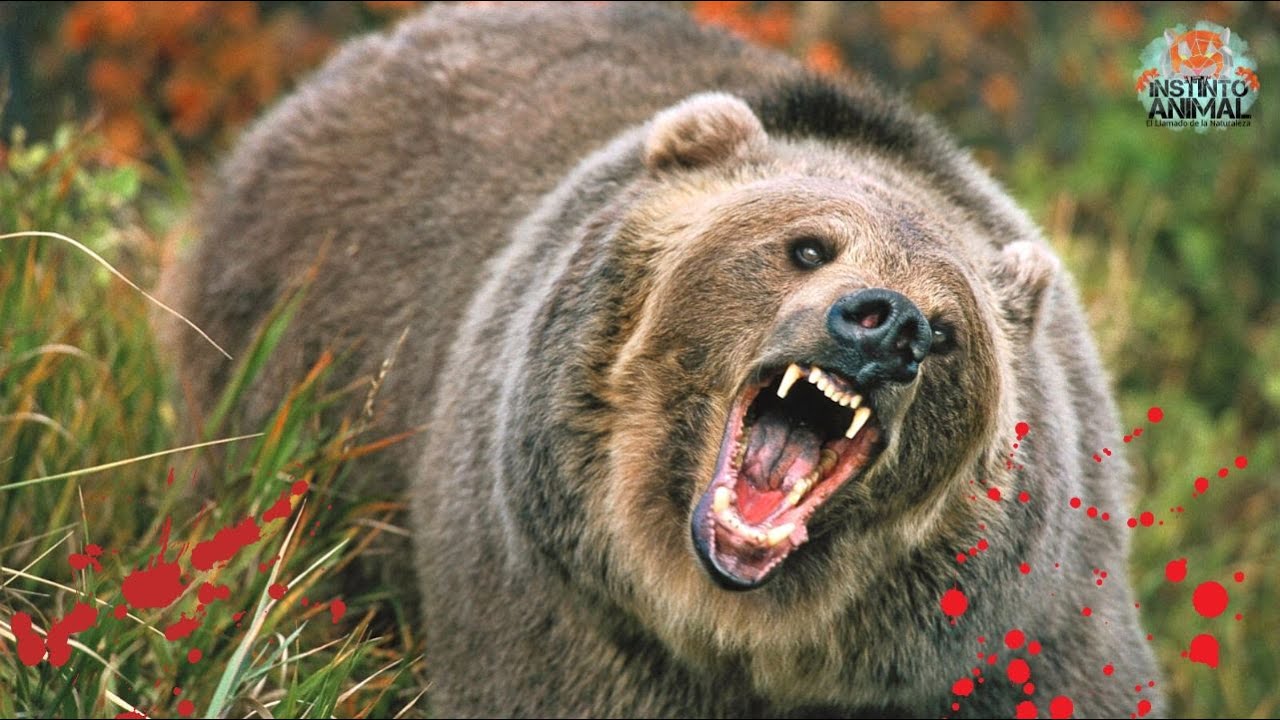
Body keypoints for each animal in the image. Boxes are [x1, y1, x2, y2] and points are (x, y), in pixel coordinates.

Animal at [168, 3, 1161, 717]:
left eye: (951, 331)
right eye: (808, 246)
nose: (889, 326)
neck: (745, 634)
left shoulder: (1016, 641)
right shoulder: (562, 610)